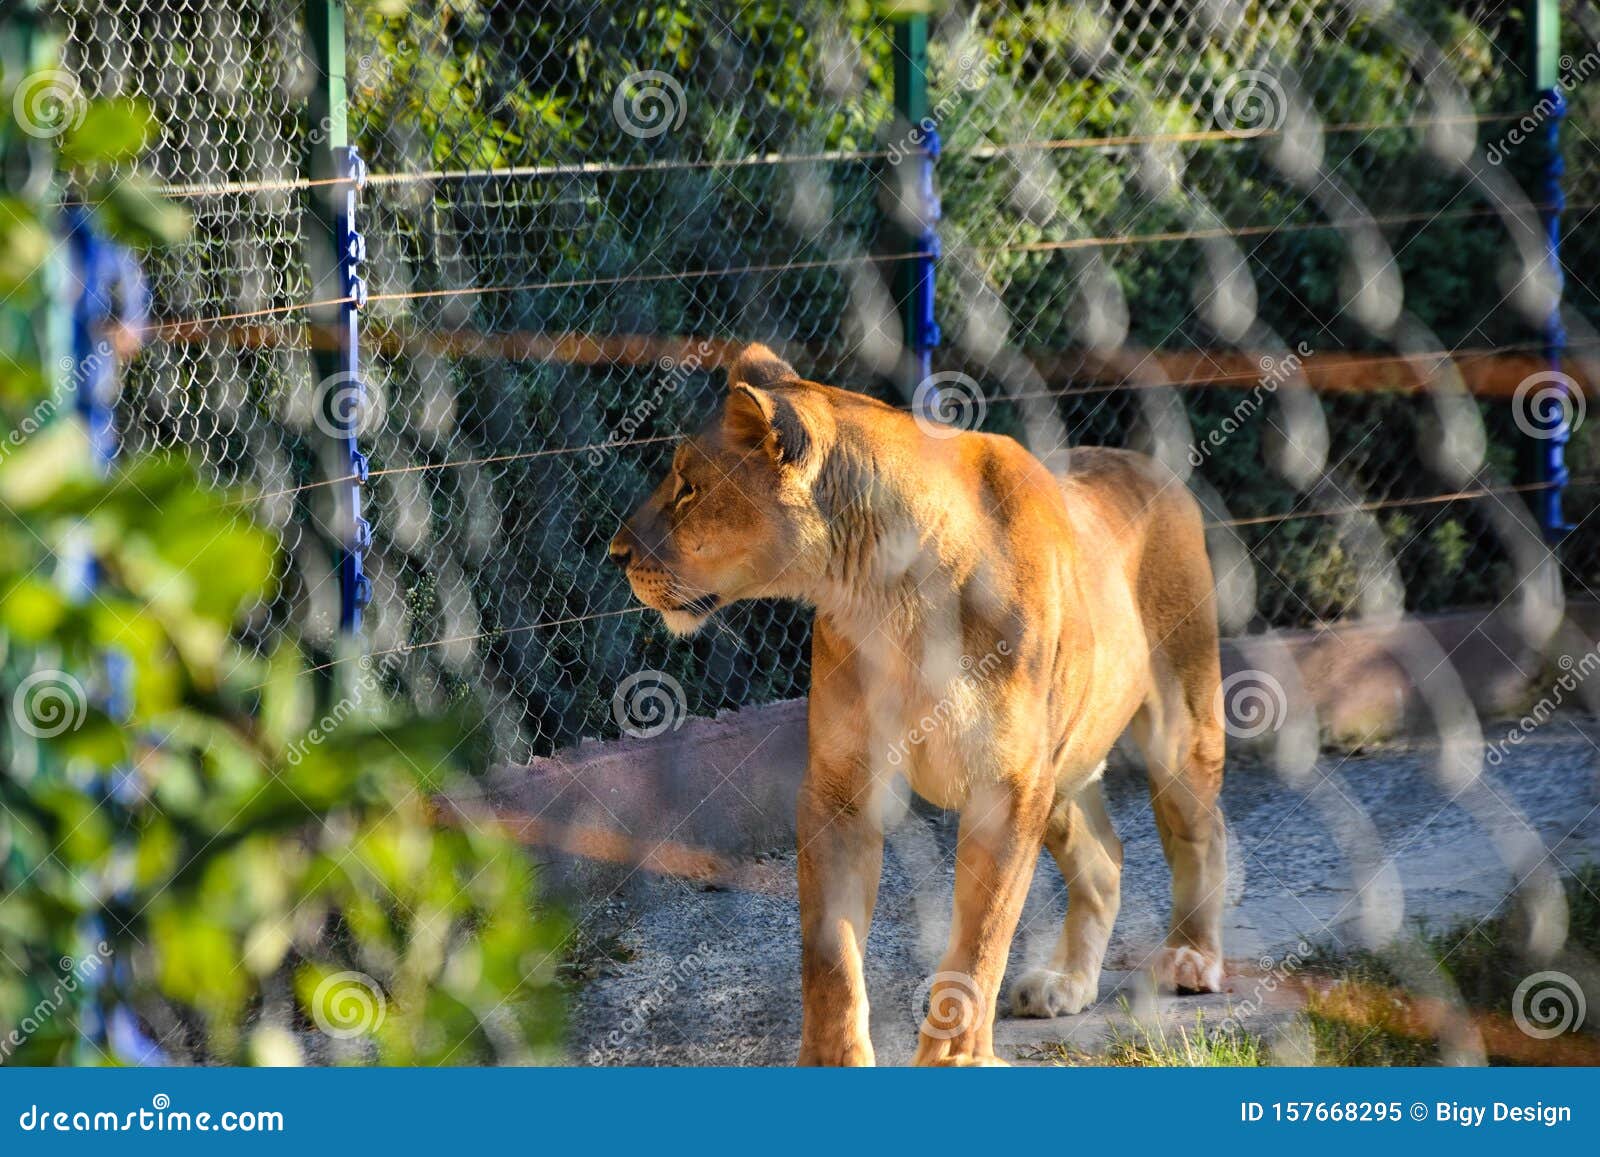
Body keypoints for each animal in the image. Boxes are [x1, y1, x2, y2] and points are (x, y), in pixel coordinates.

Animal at [610, 343, 1226, 1066]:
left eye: (688, 486)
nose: (616, 552)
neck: (887, 593)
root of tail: (1146, 464)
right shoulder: (840, 785)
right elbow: (832, 954)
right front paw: (833, 1060)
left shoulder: (1008, 789)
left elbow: (979, 944)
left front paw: (955, 1058)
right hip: (1061, 769)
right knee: (1106, 860)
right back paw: (1065, 983)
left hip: (1175, 727)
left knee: (1202, 832)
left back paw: (1191, 957)